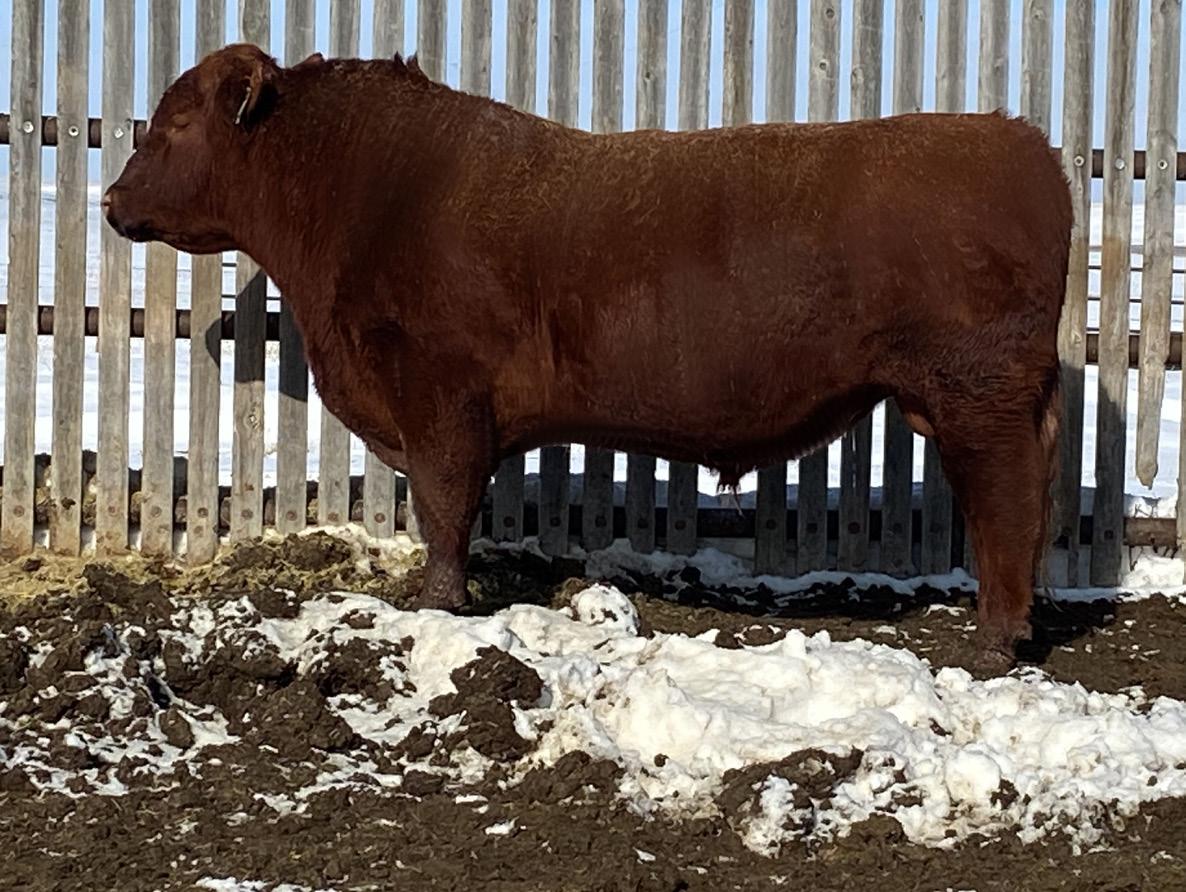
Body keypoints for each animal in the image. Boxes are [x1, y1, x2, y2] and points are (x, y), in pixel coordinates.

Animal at [104, 44, 1072, 668]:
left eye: (176, 122)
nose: (112, 201)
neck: (368, 194)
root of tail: (1024, 143)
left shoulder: (443, 397)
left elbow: (446, 506)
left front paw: (434, 605)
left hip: (975, 394)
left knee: (1008, 500)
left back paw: (993, 641)